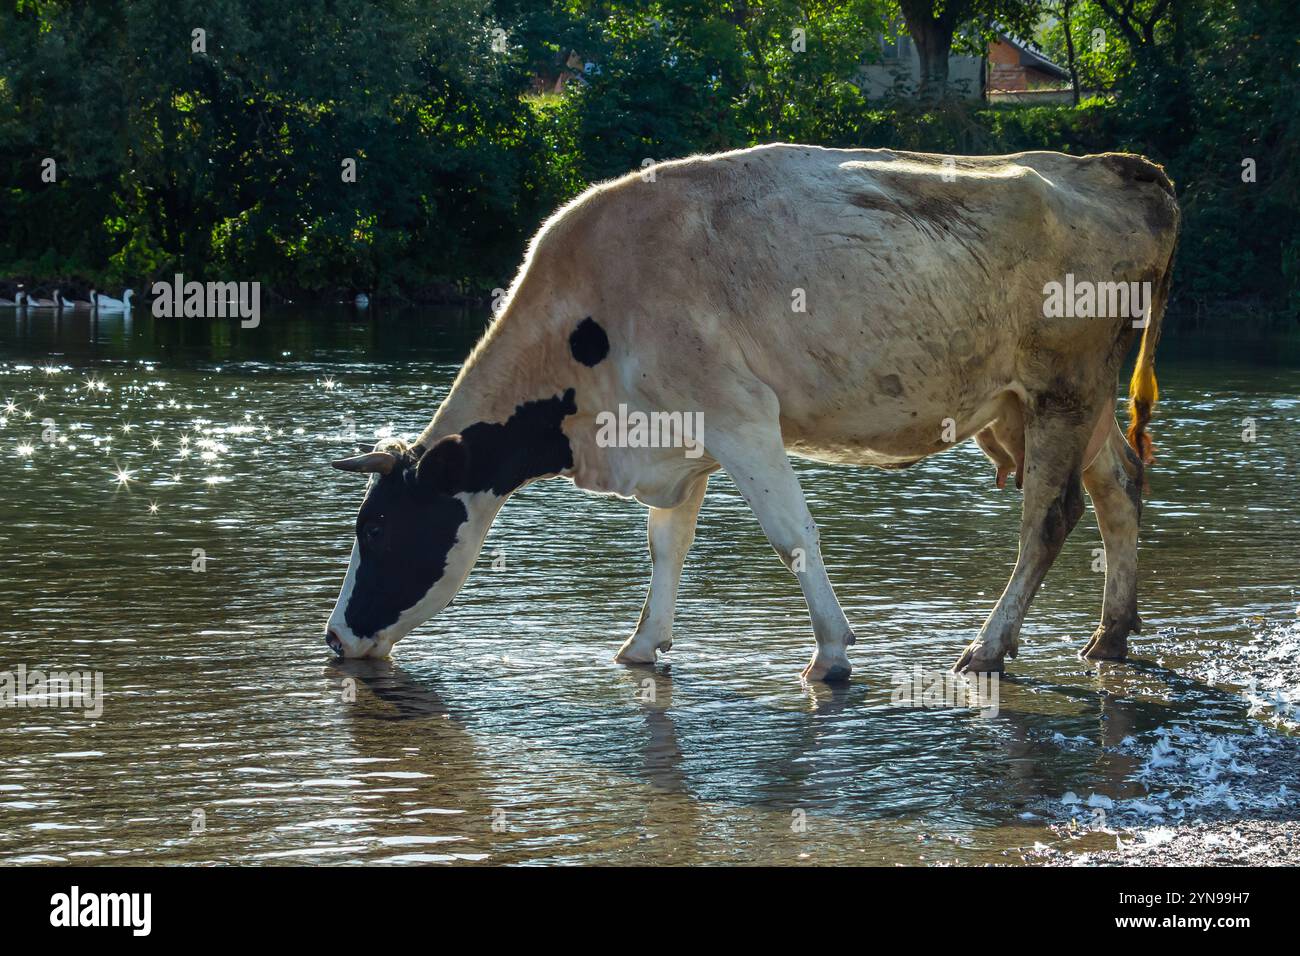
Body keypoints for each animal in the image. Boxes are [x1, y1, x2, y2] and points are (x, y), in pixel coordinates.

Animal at [324, 143, 1179, 682]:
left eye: (377, 529)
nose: (333, 639)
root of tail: (1113, 168)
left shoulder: (738, 417)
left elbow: (791, 534)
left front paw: (832, 653)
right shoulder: (678, 434)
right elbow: (666, 546)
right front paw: (641, 646)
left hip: (1063, 387)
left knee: (1051, 515)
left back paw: (989, 648)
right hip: (1054, 404)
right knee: (1119, 489)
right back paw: (1110, 635)